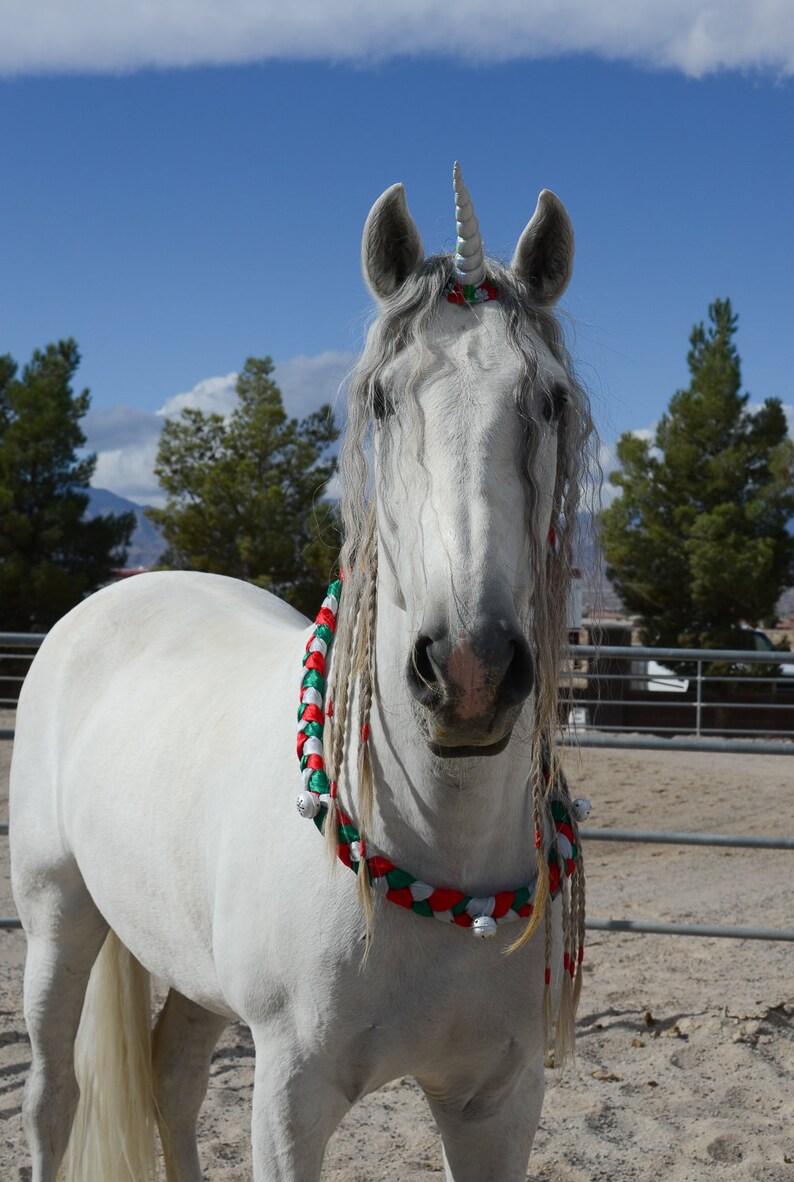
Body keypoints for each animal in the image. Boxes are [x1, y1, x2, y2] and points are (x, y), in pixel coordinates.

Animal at [10, 162, 593, 1182]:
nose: (470, 671)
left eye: (550, 399)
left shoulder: (500, 1102)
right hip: (57, 917)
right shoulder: (291, 1095)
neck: (440, 845)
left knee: (172, 1078)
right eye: (383, 400)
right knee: (52, 1098)